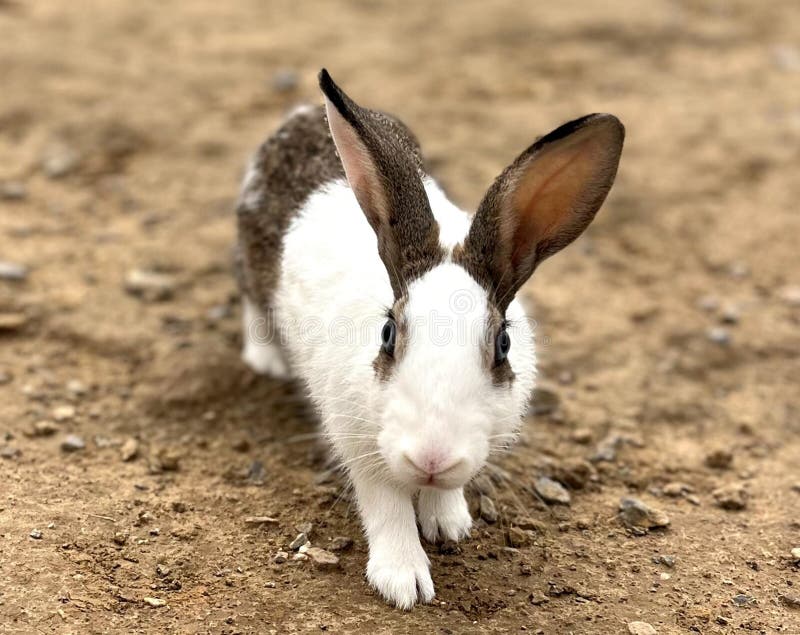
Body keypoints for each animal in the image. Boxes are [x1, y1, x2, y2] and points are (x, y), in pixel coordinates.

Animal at [235, 69, 624, 609]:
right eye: (387, 334)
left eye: (503, 345)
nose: (432, 458)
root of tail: (301, 115)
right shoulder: (359, 442)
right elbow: (387, 505)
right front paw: (404, 581)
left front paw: (449, 523)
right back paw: (266, 360)